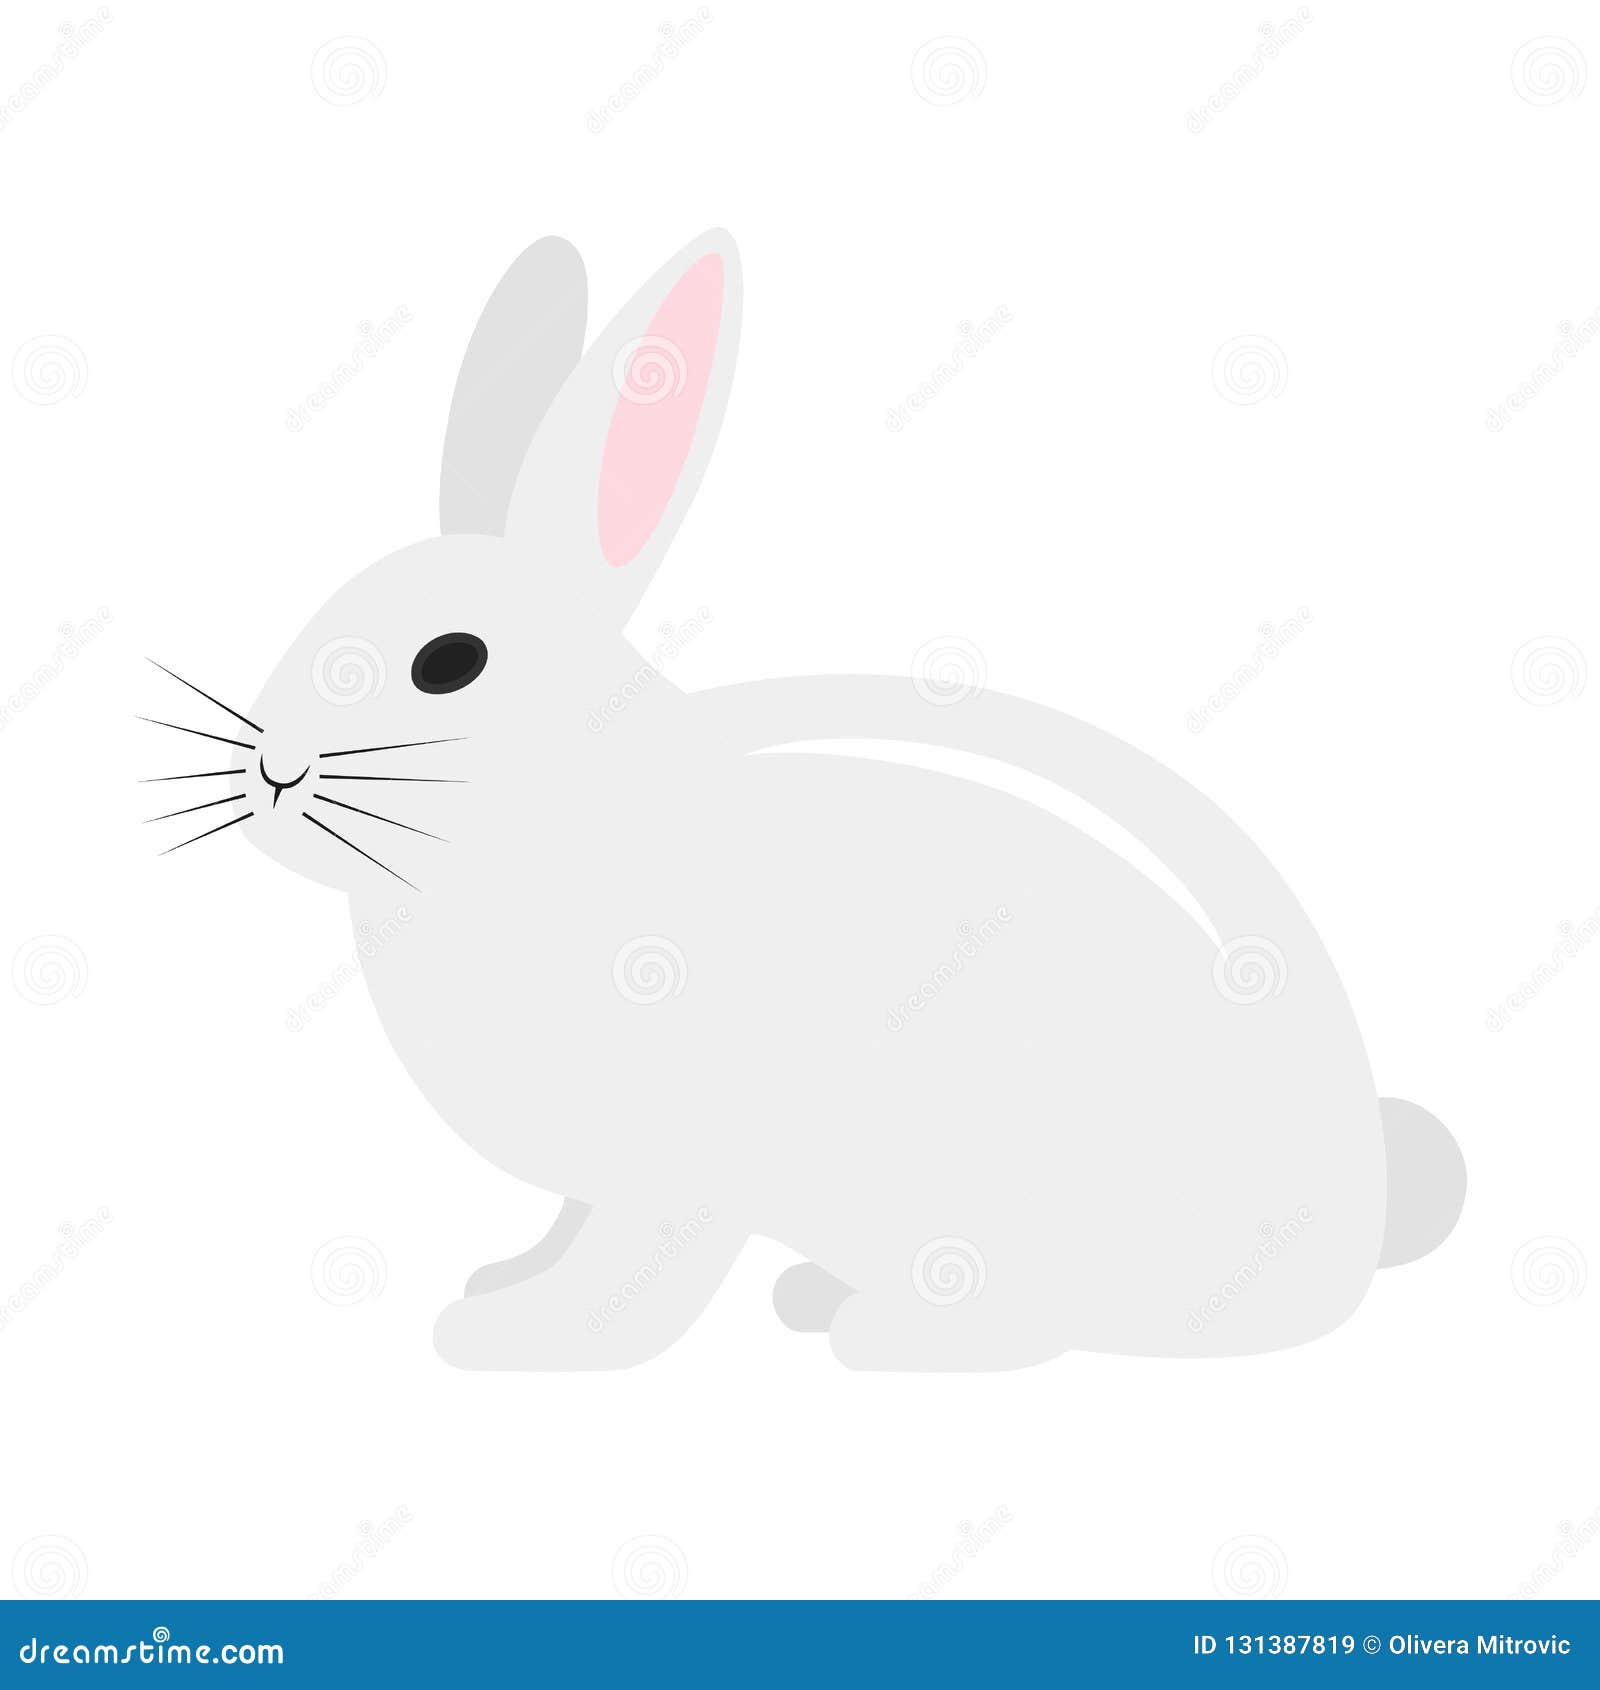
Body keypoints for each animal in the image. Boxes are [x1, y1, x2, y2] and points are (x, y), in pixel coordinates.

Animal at [164, 228, 1464, 1370]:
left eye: (449, 661)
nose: (273, 772)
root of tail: (1342, 1246)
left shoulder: (682, 1168)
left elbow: (634, 1268)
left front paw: (532, 1340)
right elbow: (569, 1229)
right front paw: (501, 1287)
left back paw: (889, 1332)